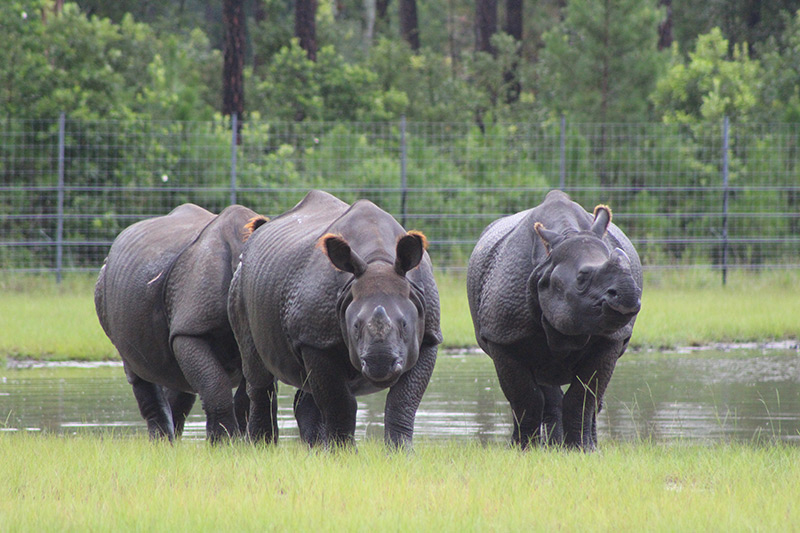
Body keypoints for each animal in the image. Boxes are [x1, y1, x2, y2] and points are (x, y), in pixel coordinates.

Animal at [95, 203, 257, 442]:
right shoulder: (190, 327)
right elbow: (216, 385)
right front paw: (224, 444)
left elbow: (245, 393)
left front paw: (241, 444)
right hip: (104, 282)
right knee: (138, 370)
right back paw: (161, 443)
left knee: (180, 378)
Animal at [227, 190, 442, 447]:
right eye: (356, 326)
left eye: (405, 325)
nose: (380, 364)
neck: (379, 260)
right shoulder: (316, 340)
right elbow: (339, 402)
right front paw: (343, 452)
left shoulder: (428, 334)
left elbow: (403, 401)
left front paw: (400, 451)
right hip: (241, 284)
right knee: (258, 372)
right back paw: (262, 446)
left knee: (308, 387)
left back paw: (314, 449)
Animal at [467, 190, 642, 450]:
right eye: (581, 277)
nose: (627, 296)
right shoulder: (504, 335)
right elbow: (525, 397)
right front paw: (523, 450)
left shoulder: (611, 338)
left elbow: (583, 397)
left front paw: (582, 450)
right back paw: (548, 446)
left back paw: (575, 445)